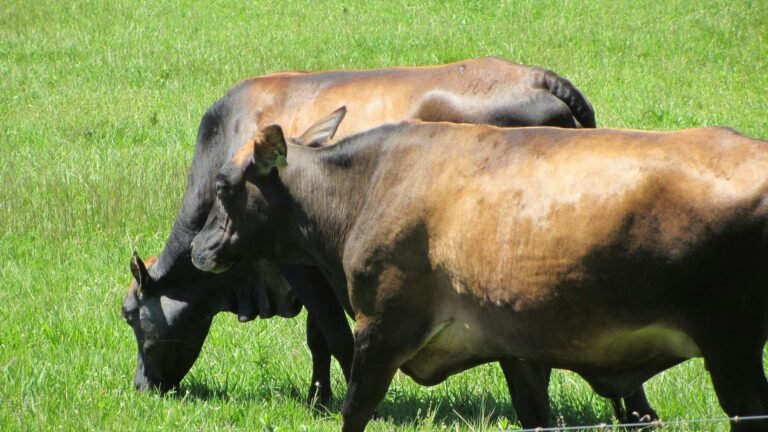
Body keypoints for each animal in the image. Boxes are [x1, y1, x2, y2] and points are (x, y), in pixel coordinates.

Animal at [122, 57, 653, 427]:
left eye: (130, 316)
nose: (141, 387)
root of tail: (544, 79)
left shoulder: (300, 264)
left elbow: (331, 334)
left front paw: (346, 402)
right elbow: (319, 338)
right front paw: (319, 396)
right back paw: (636, 413)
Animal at [189, 122, 768, 432]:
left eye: (223, 186)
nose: (197, 249)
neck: (367, 187)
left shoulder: (382, 329)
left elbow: (355, 411)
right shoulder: (518, 346)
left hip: (733, 348)